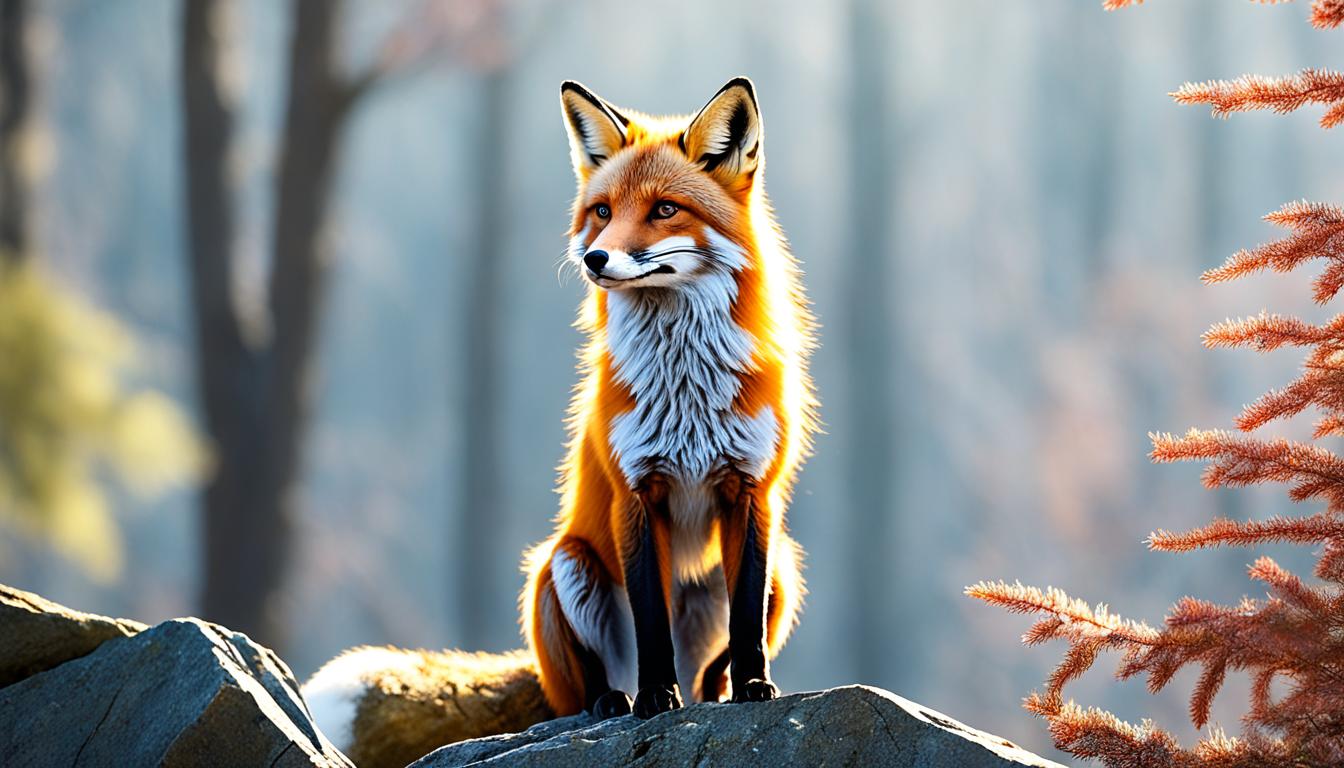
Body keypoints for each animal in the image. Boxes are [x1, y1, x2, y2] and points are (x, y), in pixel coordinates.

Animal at [302, 77, 817, 767]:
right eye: (602, 211)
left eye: (665, 210)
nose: (596, 258)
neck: (685, 386)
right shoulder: (635, 492)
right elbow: (651, 619)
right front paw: (656, 701)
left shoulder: (753, 490)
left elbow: (744, 624)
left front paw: (754, 689)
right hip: (564, 565)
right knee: (584, 688)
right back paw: (616, 701)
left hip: (785, 565)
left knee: (713, 668)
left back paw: (711, 693)